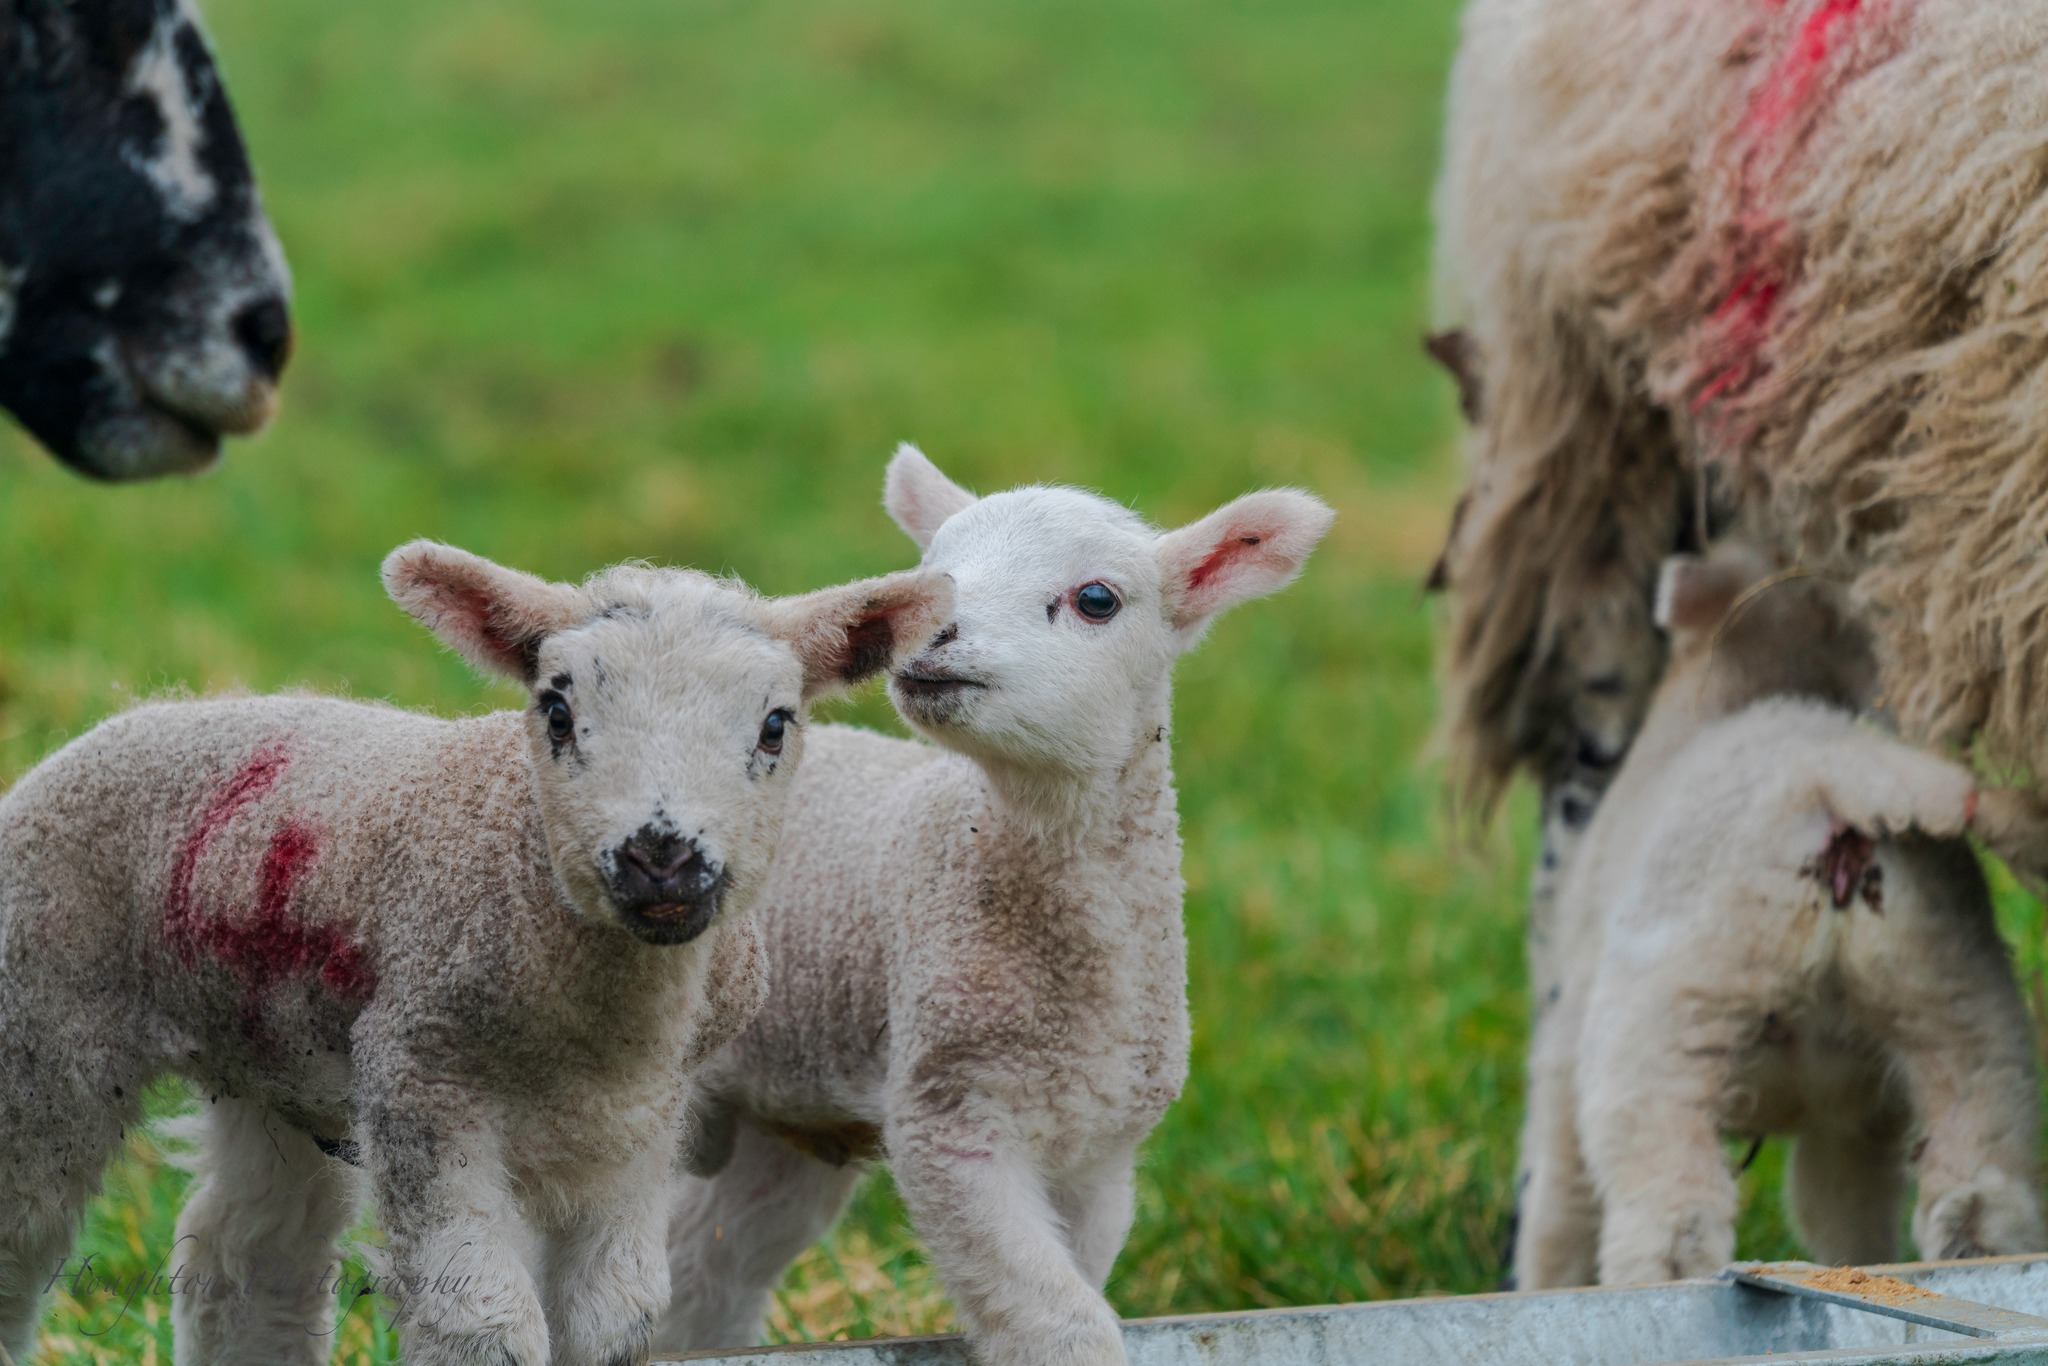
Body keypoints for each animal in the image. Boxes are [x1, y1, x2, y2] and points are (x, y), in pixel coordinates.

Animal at [0, 540, 949, 1366]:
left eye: (775, 726)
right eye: (558, 712)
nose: (661, 857)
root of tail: (143, 710)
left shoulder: (642, 1115)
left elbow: (614, 1319)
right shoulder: (421, 1076)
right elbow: (483, 1321)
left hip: (268, 1061)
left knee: (248, 1261)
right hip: (42, 1019)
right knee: (22, 1238)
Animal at [651, 447, 1332, 1365]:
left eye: (1097, 599)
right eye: (932, 571)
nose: (931, 637)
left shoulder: (1100, 1150)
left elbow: (1074, 1279)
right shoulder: (949, 1104)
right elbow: (1057, 1318)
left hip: (778, 1104)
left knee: (710, 1268)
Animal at [1517, 540, 2044, 1289]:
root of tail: (1835, 773)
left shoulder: (1563, 1056)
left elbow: (1556, 1212)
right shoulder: (1850, 1126)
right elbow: (1840, 1211)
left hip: (1659, 1032)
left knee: (1673, 1220)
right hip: (1962, 1012)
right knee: (1979, 1195)